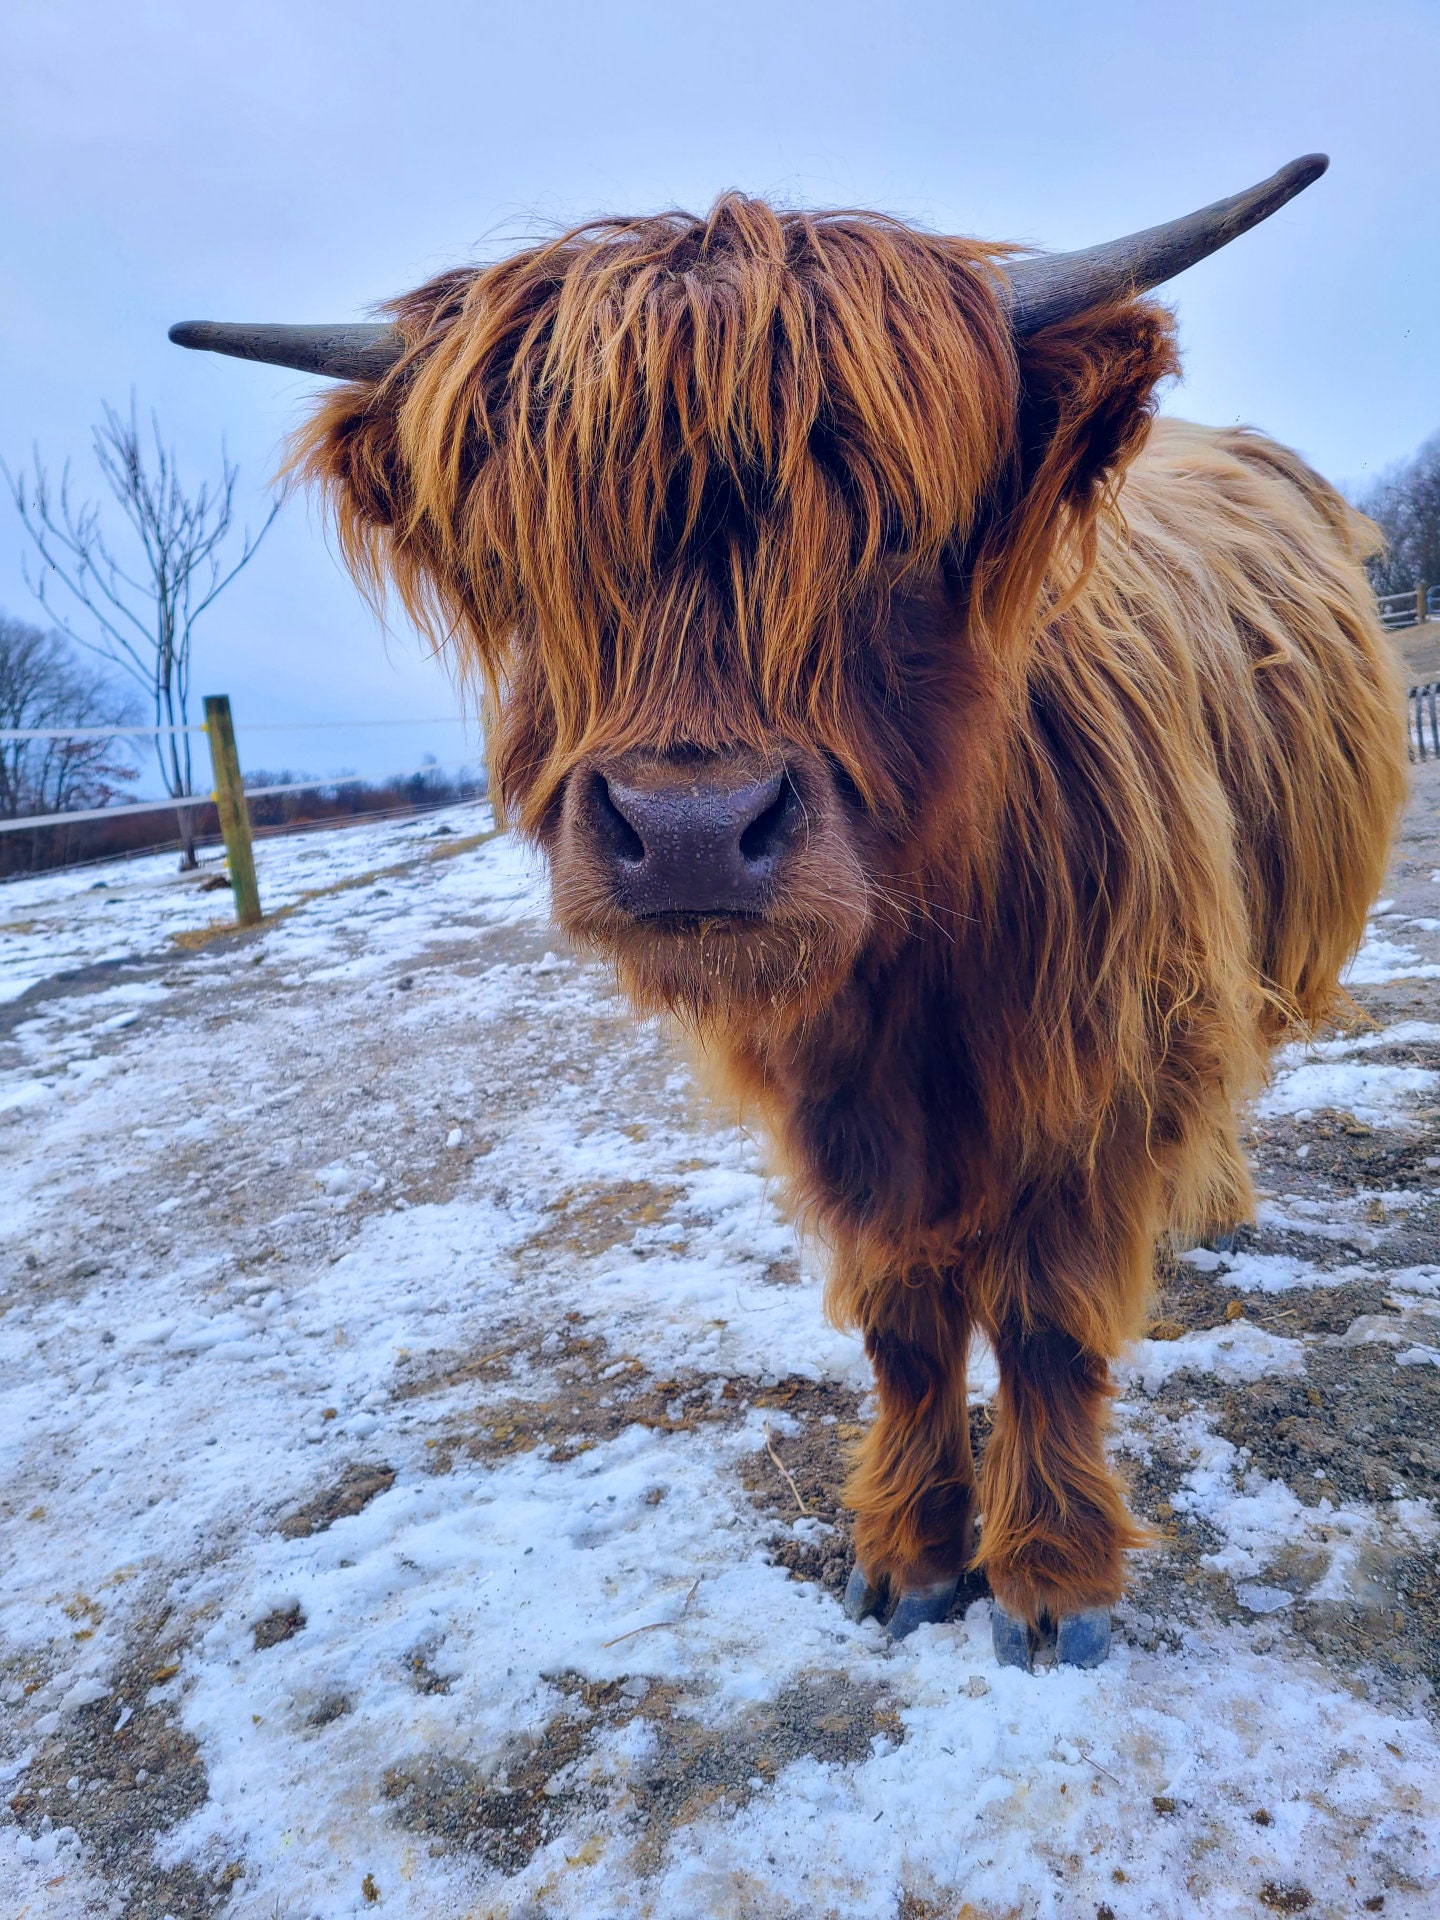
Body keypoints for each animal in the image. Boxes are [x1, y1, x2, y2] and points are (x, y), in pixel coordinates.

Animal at [171, 157, 1407, 1668]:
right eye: (535, 555)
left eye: (900, 534)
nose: (692, 833)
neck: (924, 960)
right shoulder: (842, 1108)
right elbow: (904, 1322)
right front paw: (911, 1556)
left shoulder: (1102, 1064)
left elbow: (1048, 1323)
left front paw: (1052, 1581)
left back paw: (1209, 1206)